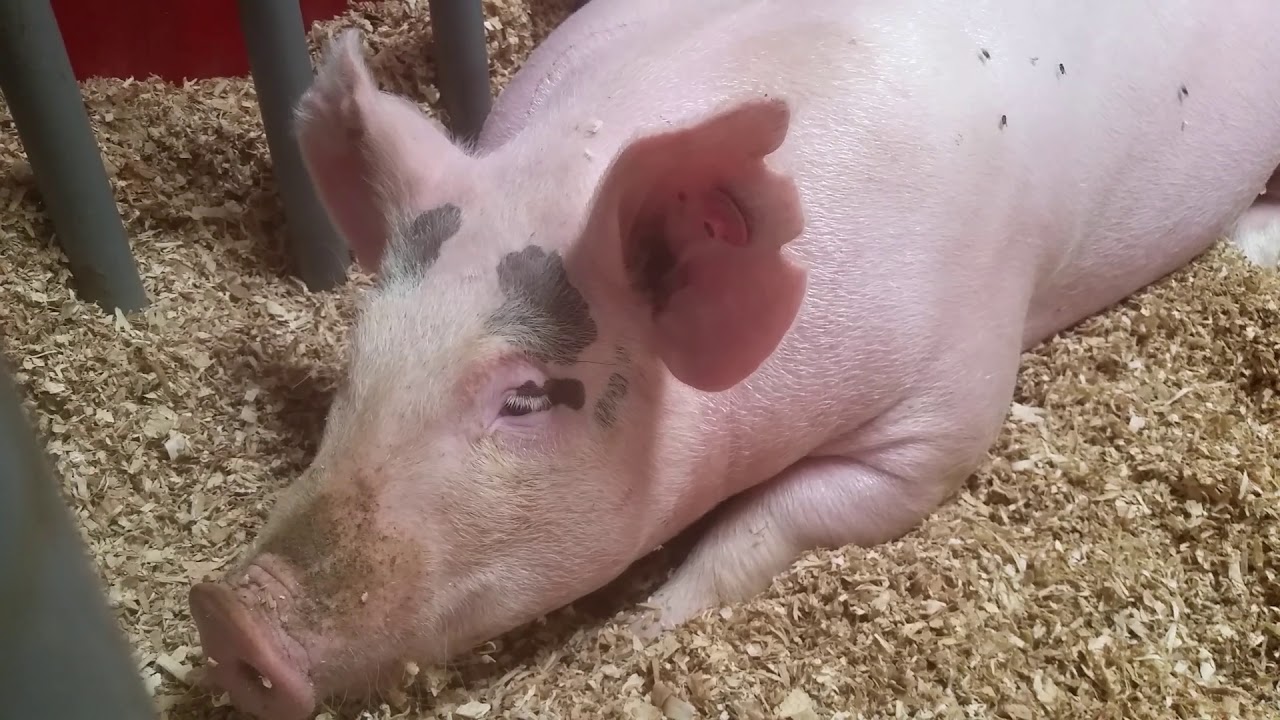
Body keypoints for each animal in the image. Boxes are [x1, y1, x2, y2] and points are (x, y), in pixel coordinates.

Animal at [188, 0, 1280, 717]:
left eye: (528, 396)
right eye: (360, 353)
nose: (226, 615)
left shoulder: (942, 412)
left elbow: (771, 521)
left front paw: (642, 626)